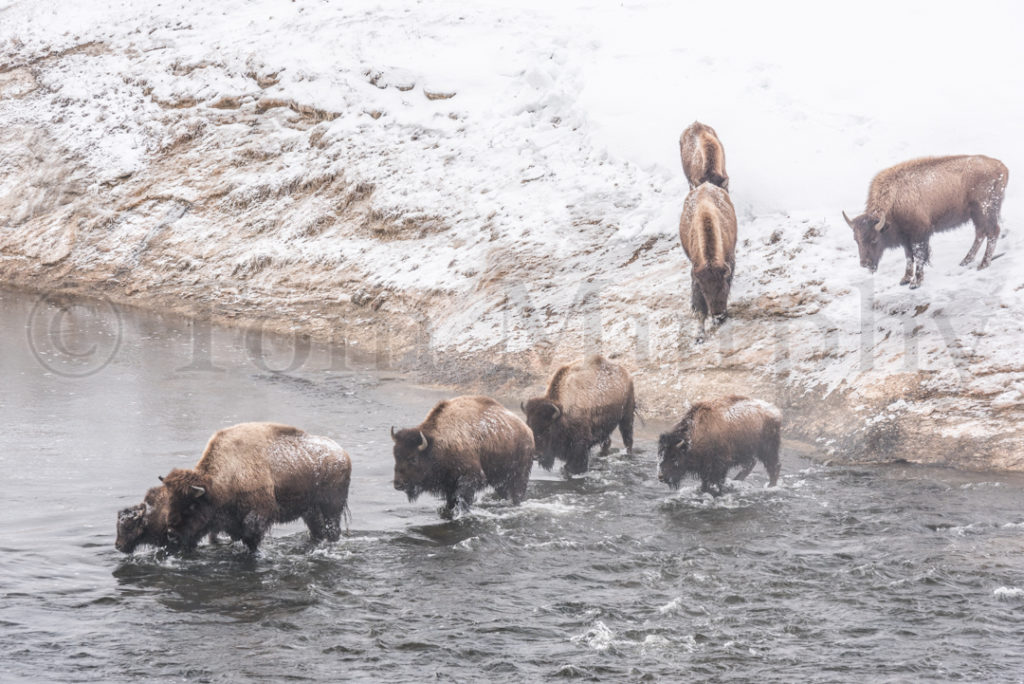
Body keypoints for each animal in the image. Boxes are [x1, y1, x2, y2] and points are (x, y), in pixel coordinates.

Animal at [117, 422, 352, 553]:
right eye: (170, 502)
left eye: (191, 506)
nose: (172, 534)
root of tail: (342, 454)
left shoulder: (256, 518)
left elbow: (250, 540)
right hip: (310, 511)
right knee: (317, 531)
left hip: (332, 508)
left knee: (332, 531)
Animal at [391, 395, 534, 518]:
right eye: (396, 456)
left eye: (413, 458)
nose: (398, 484)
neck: (437, 442)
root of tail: (527, 430)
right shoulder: (448, 484)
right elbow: (450, 501)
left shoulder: (470, 478)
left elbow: (463, 498)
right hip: (499, 480)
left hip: (519, 475)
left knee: (517, 493)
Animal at [679, 182, 737, 341]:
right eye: (704, 291)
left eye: (723, 286)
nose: (718, 314)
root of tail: (705, 184)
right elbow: (699, 307)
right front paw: (699, 336)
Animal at [843, 155, 1008, 288]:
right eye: (856, 240)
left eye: (874, 239)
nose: (864, 264)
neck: (895, 198)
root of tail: (1001, 166)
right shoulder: (906, 238)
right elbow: (909, 257)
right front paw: (905, 279)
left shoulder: (919, 234)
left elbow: (919, 256)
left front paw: (915, 282)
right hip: (976, 216)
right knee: (981, 233)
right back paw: (965, 261)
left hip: (984, 211)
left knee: (992, 232)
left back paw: (983, 264)